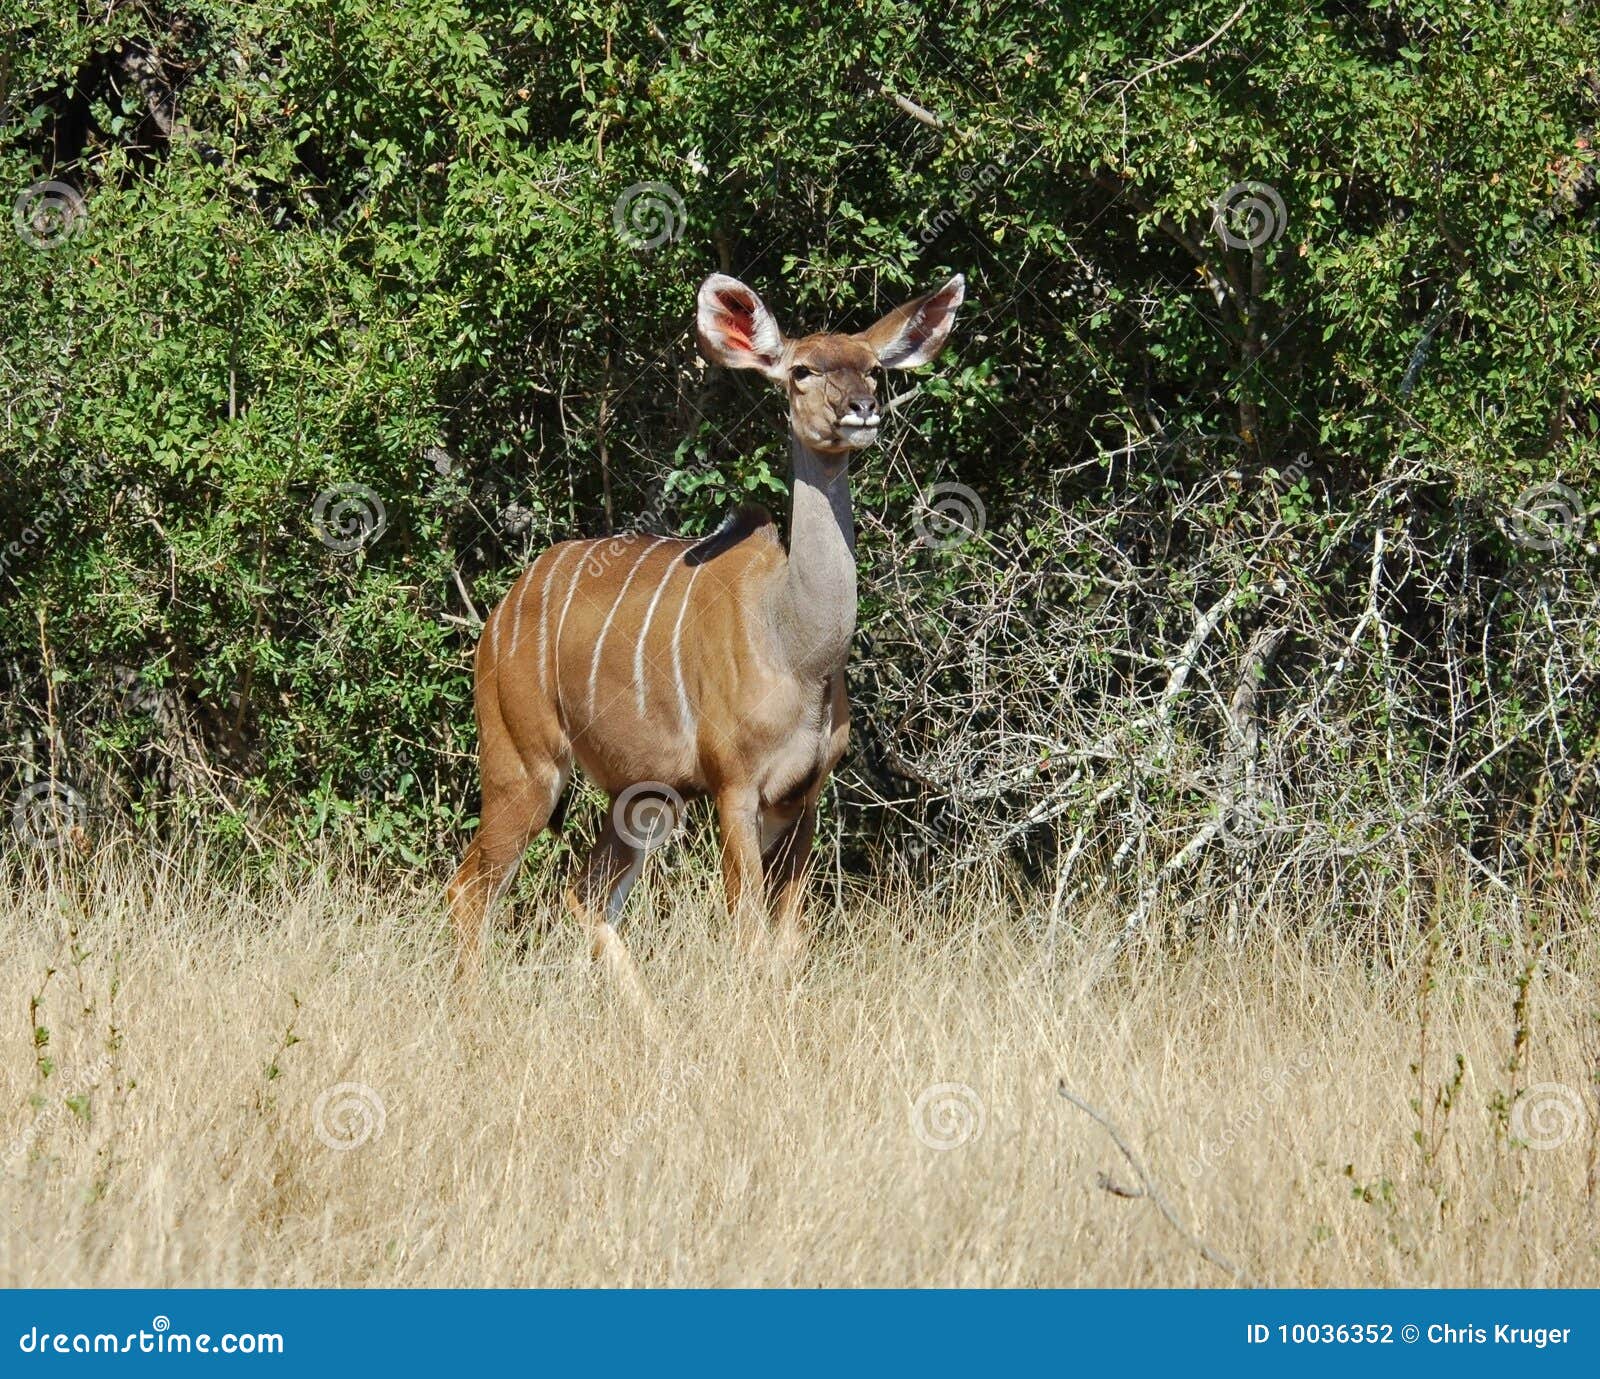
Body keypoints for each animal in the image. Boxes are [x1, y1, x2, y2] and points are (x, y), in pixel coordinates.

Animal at [448, 269, 964, 988]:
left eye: (871, 369)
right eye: (801, 370)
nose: (860, 409)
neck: (795, 646)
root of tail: (500, 617)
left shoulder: (804, 797)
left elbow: (787, 943)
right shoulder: (734, 786)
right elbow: (746, 935)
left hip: (645, 794)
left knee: (586, 892)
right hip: (523, 764)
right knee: (471, 889)